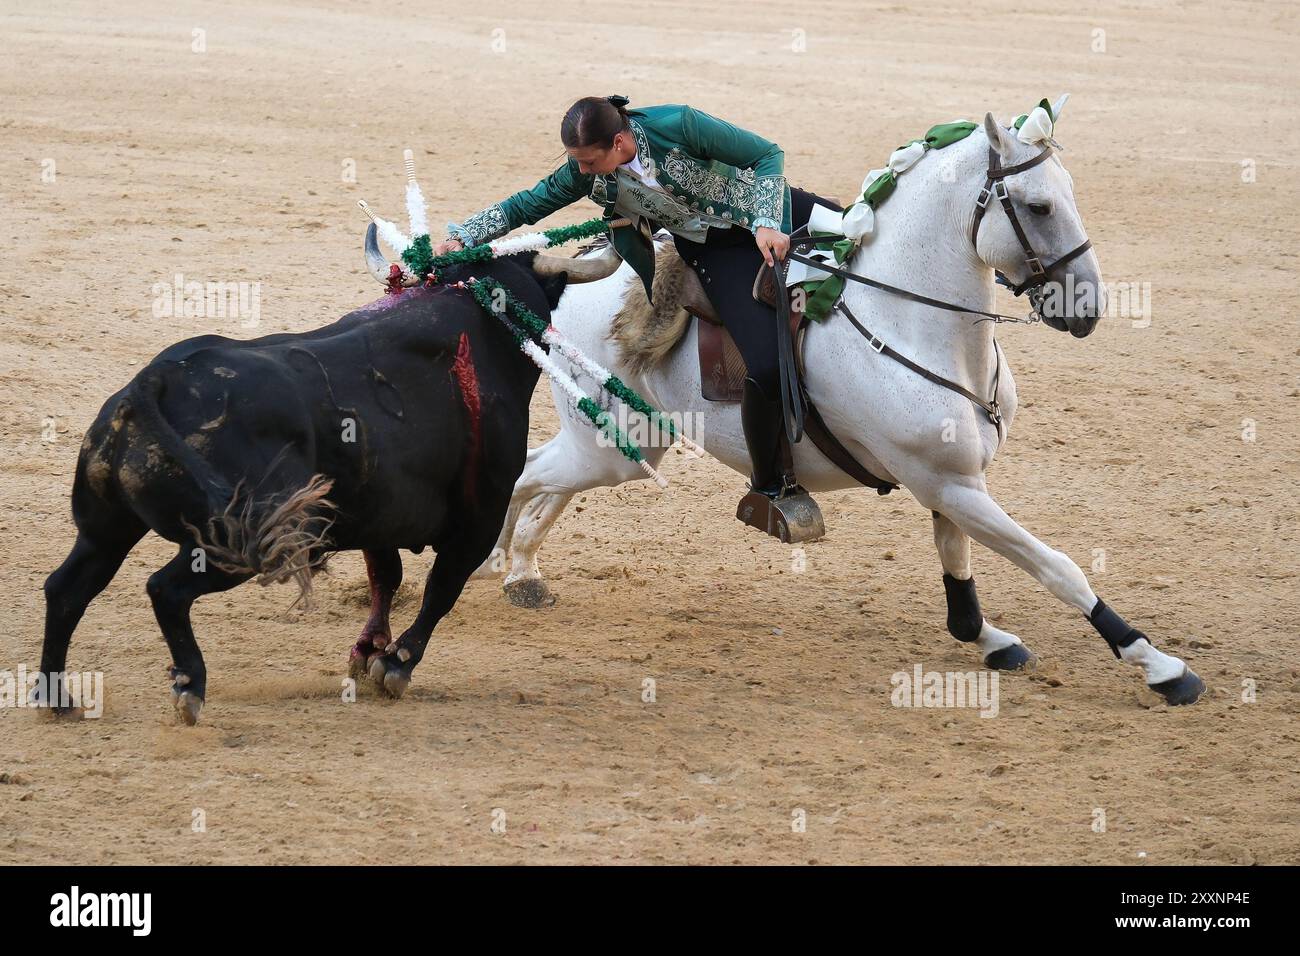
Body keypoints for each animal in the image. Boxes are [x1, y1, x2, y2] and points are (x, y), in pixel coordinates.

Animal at [36, 239, 621, 724]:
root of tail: (154, 380)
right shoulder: (476, 520)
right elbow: (440, 589)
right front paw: (396, 664)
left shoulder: (381, 516)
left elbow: (386, 579)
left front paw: (368, 651)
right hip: (247, 540)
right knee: (165, 589)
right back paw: (189, 688)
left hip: (104, 527)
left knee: (66, 588)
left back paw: (57, 697)